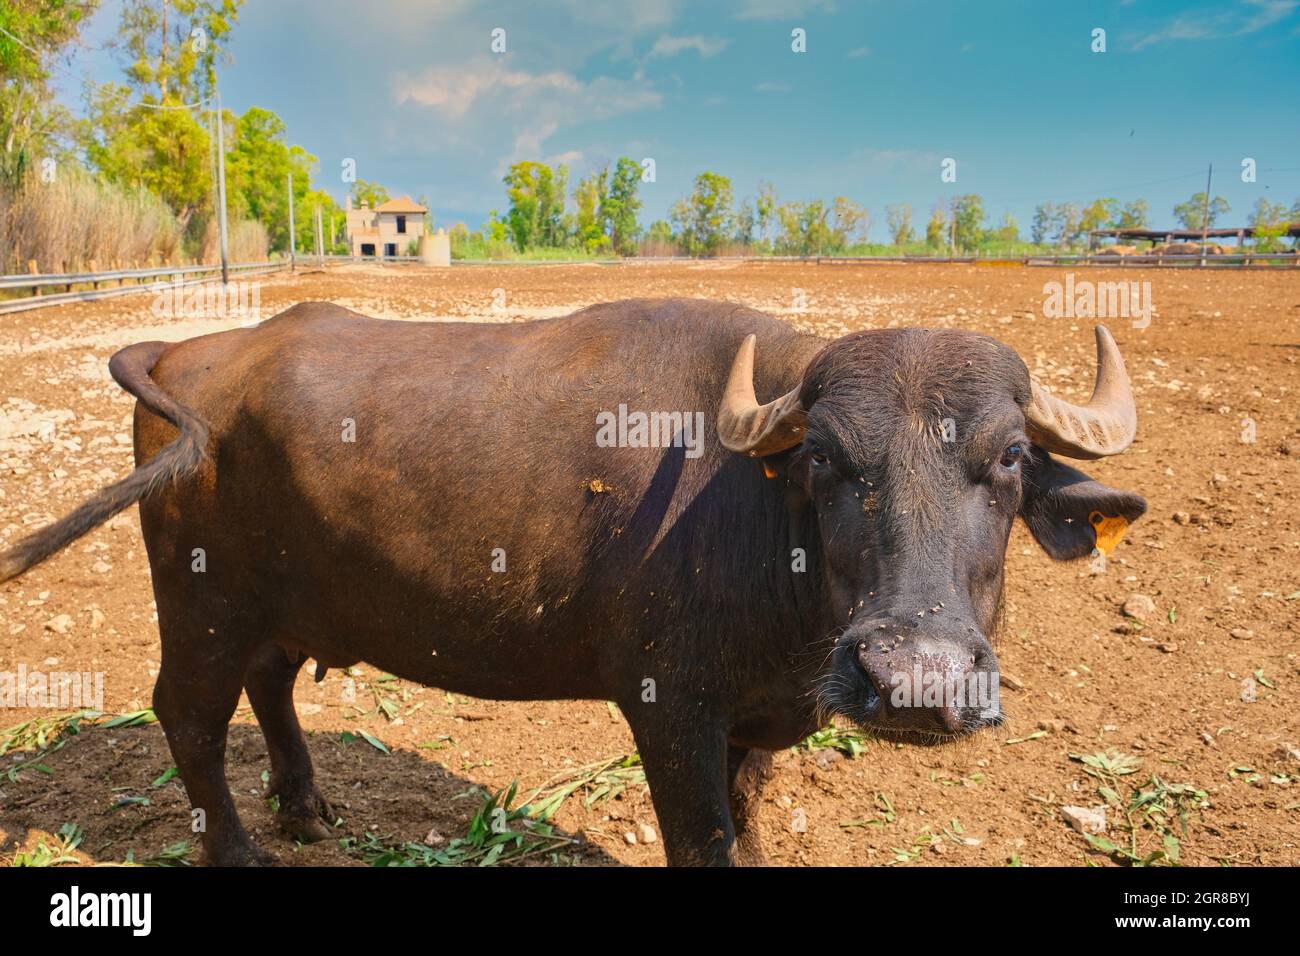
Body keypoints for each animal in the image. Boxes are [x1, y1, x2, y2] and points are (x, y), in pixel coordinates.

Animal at [0, 298, 1146, 865]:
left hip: (281, 604)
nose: (913, 678)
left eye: (1008, 457)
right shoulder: (668, 707)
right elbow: (702, 839)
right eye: (824, 456)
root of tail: (191, 353)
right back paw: (241, 849)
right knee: (188, 716)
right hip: (199, 604)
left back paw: (306, 805)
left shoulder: (753, 719)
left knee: (269, 684)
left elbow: (748, 822)